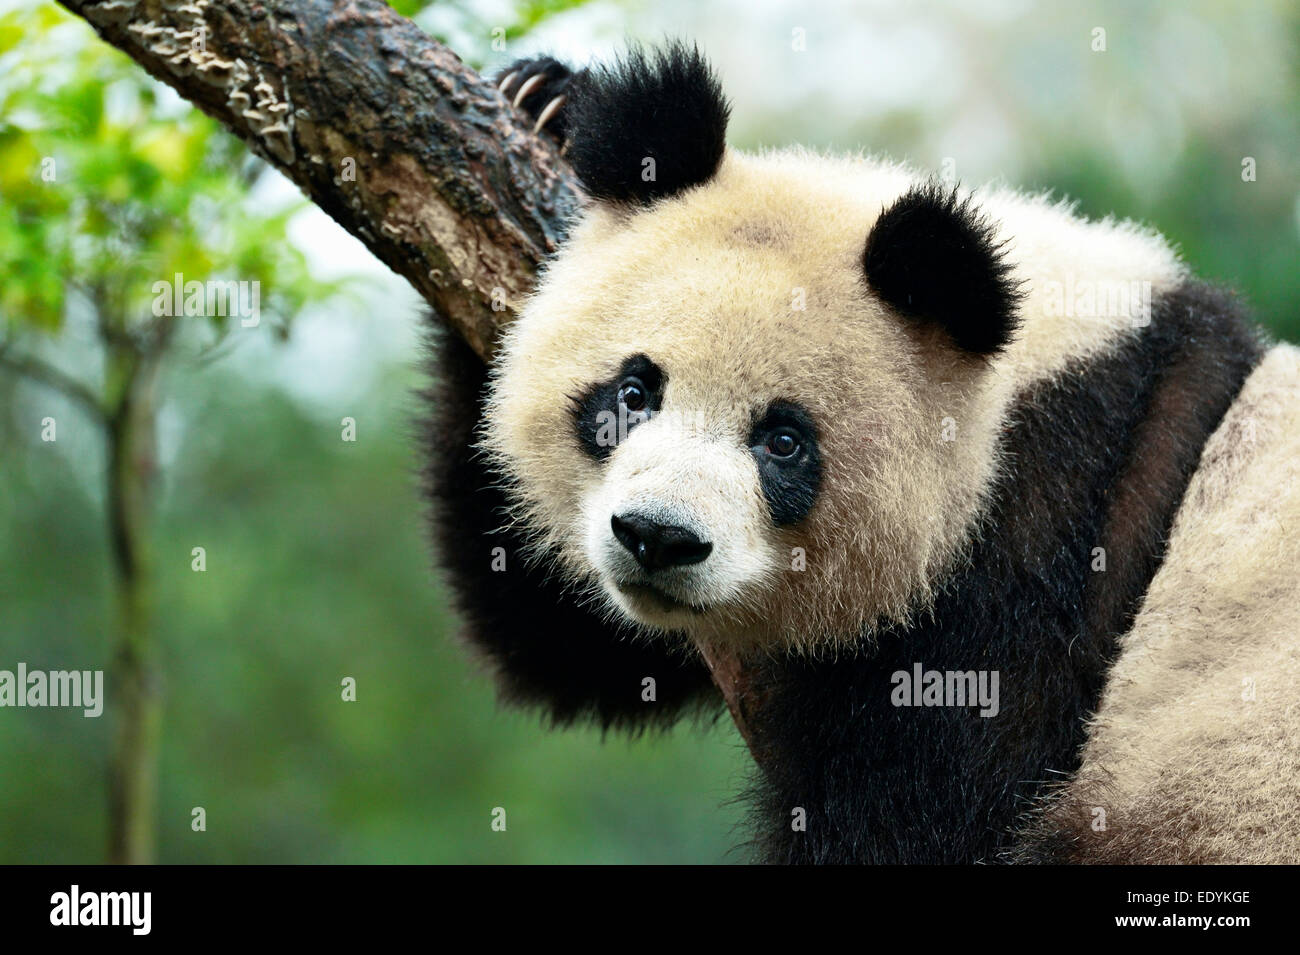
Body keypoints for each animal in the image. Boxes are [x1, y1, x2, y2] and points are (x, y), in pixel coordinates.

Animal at [422, 42, 1300, 864]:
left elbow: (928, 811)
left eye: (784, 441)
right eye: (634, 392)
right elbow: (565, 641)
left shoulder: (1054, 529)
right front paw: (545, 99)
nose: (657, 539)